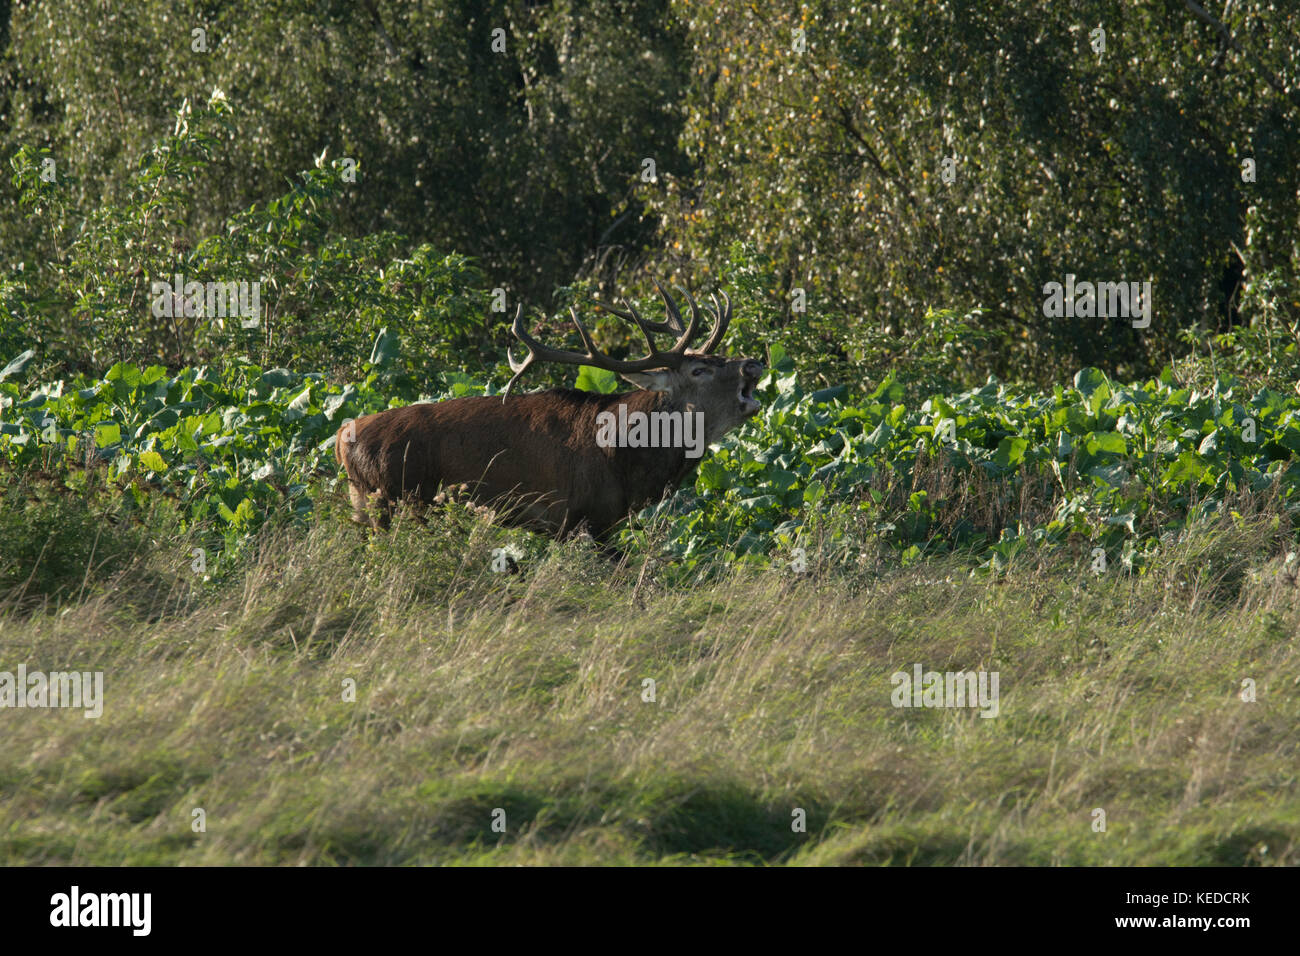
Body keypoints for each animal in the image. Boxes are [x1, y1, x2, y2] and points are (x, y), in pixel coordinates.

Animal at [333, 280, 764, 549]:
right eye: (699, 370)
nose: (753, 364)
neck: (626, 460)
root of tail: (341, 439)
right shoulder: (581, 518)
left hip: (367, 504)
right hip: (394, 500)